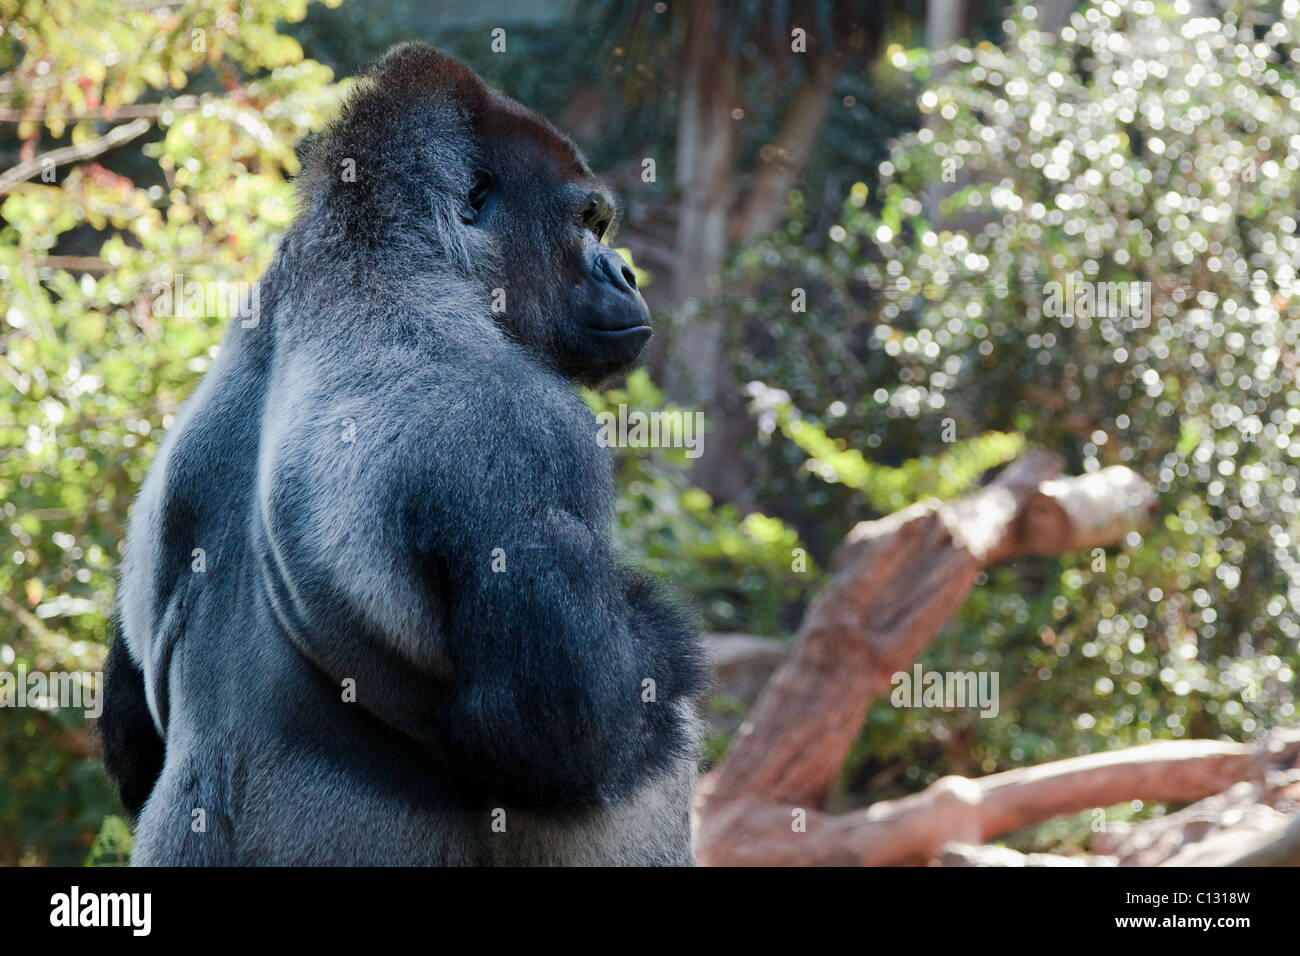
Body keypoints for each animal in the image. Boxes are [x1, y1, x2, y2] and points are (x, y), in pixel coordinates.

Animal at [99, 43, 707, 865]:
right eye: (587, 222)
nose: (627, 272)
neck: (375, 254)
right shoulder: (523, 427)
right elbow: (565, 729)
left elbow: (129, 719)